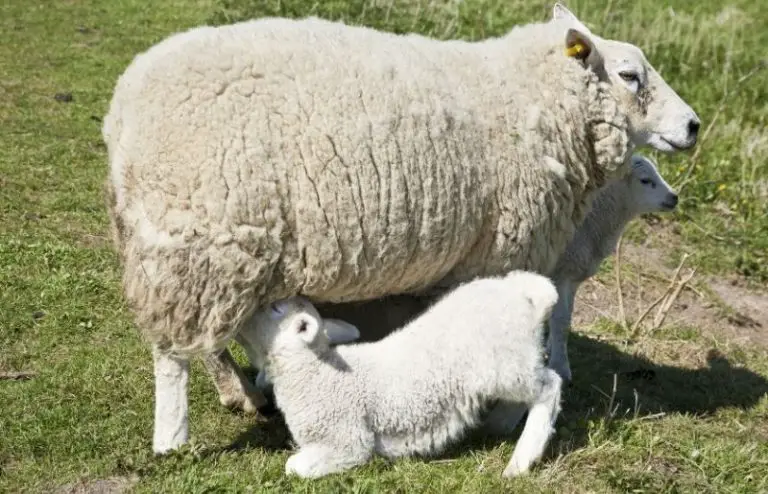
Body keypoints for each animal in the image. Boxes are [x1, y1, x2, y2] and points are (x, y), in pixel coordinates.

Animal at [237, 270, 563, 479]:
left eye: (275, 308)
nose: (247, 308)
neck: (313, 372)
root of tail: (525, 294)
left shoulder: (348, 440)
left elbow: (294, 467)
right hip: (513, 362)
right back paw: (499, 426)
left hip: (505, 364)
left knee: (549, 386)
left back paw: (521, 460)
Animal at [546, 154, 679, 382]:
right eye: (645, 180)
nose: (674, 197)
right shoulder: (561, 271)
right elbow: (560, 321)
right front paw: (560, 367)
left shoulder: (573, 273)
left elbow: (563, 317)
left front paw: (548, 350)